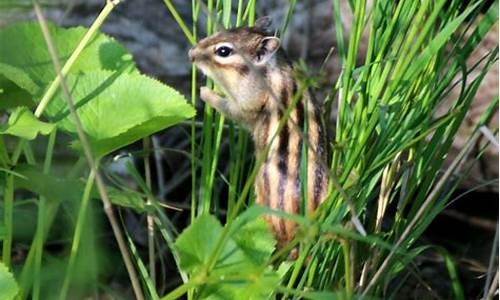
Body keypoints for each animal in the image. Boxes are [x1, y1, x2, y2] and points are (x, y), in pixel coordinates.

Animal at [188, 17, 328, 251]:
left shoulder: (249, 101)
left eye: (223, 51)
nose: (191, 53)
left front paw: (207, 92)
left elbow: (233, 110)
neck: (271, 70)